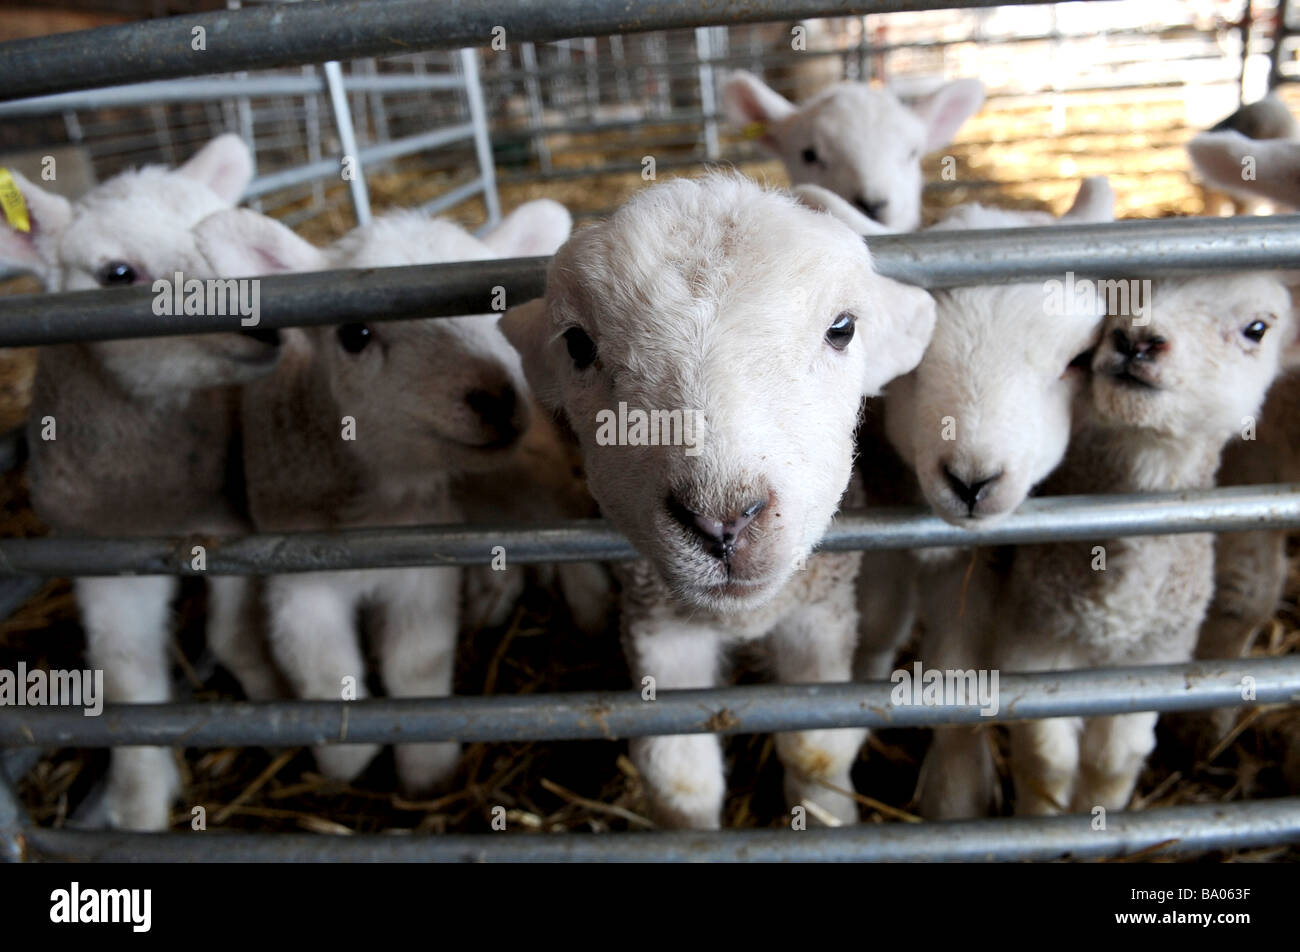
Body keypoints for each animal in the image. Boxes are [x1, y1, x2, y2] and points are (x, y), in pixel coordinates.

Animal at [0, 134, 284, 830]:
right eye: (118, 274)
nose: (264, 322)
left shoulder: (230, 526)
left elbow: (231, 636)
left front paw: (268, 697)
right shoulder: (99, 554)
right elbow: (124, 678)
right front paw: (138, 801)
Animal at [193, 199, 574, 793]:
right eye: (354, 334)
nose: (496, 398)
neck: (377, 508)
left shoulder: (421, 574)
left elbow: (414, 665)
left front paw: (427, 770)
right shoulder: (297, 578)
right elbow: (322, 668)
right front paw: (345, 763)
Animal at [501, 173, 936, 828]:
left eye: (842, 328)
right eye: (577, 344)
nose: (722, 521)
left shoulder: (818, 613)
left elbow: (816, 749)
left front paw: (828, 812)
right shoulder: (659, 627)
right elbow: (680, 777)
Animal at [994, 274, 1298, 815]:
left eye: (1257, 328)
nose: (1137, 339)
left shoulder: (1155, 658)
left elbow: (1115, 760)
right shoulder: (1030, 641)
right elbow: (1047, 761)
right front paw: (1044, 820)